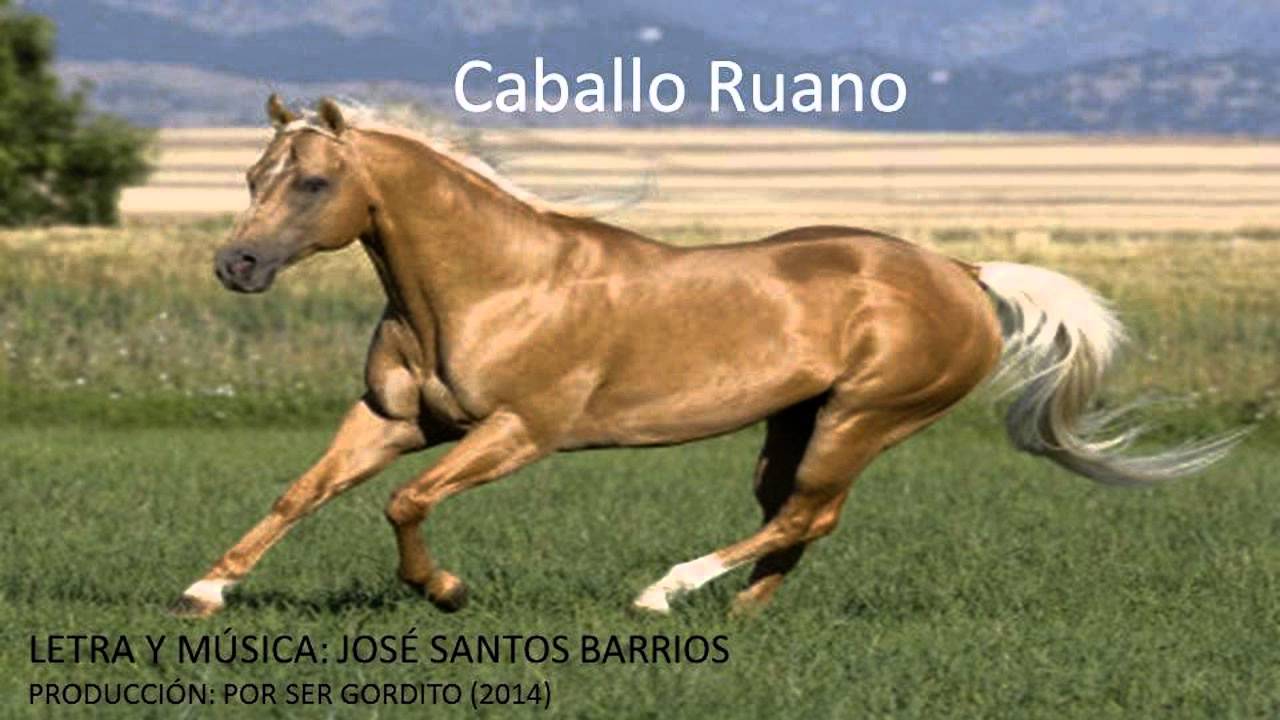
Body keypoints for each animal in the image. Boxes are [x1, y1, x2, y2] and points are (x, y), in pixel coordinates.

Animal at [172, 95, 1243, 618]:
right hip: (798, 420)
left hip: (865, 416)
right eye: (253, 174)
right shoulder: (395, 420)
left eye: (313, 183)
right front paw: (206, 591)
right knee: (795, 521)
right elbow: (302, 492)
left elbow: (406, 503)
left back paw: (665, 594)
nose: (237, 264)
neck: (491, 284)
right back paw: (741, 620)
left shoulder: (522, 432)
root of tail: (959, 269)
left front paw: (447, 591)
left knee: (810, 512)